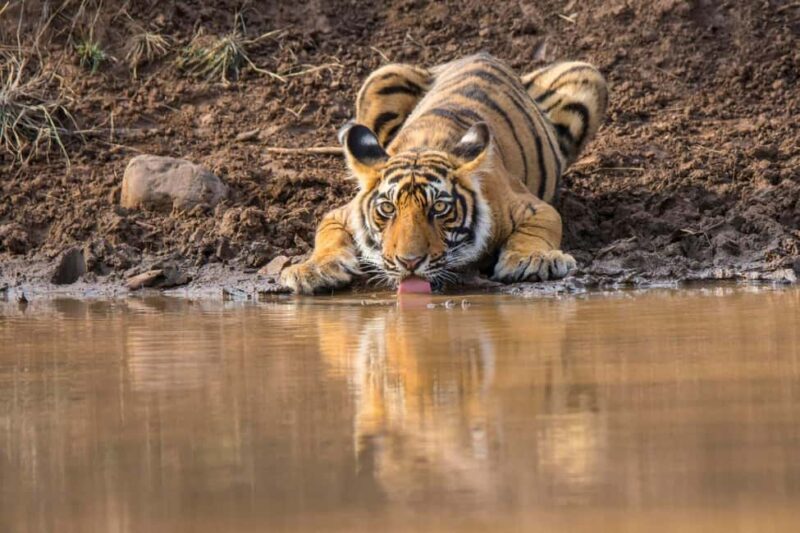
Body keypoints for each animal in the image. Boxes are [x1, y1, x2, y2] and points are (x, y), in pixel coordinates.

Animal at [281, 52, 608, 294]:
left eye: (439, 208)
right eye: (387, 209)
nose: (409, 262)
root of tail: (481, 54)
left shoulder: (532, 206)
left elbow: (538, 229)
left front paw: (532, 260)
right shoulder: (342, 213)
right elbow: (326, 235)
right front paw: (313, 269)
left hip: (585, 75)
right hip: (382, 76)